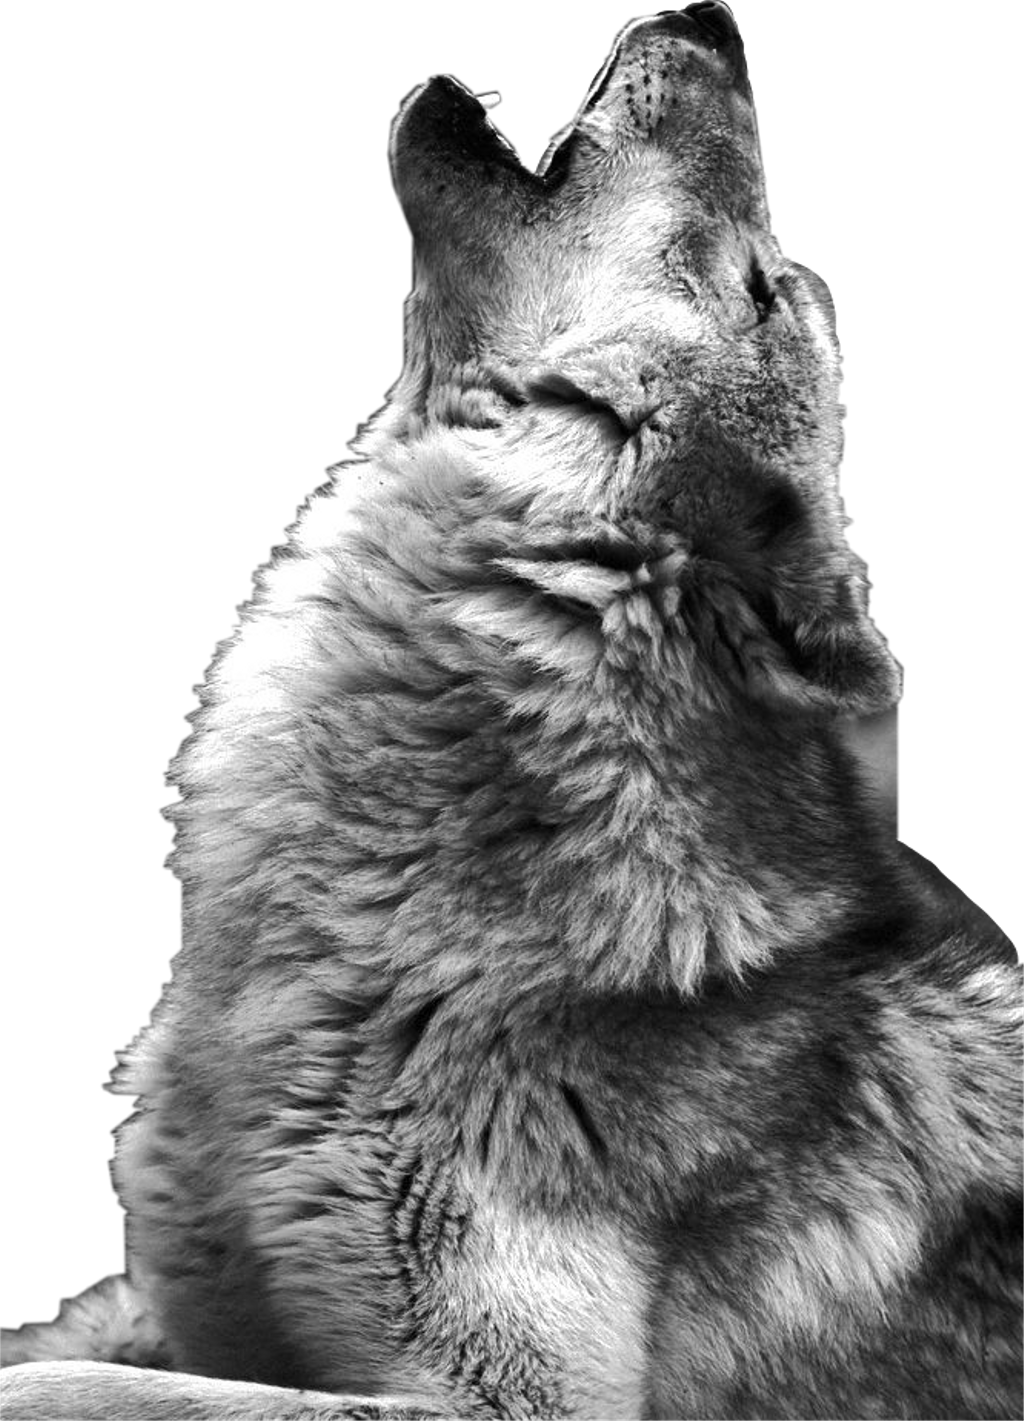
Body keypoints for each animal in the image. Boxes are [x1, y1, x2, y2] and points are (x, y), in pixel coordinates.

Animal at [2, 3, 1020, 1418]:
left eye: (759, 287)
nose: (711, 18)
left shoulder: (508, 1391)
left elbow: (97, 1385)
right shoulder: (186, 1296)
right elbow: (83, 1349)